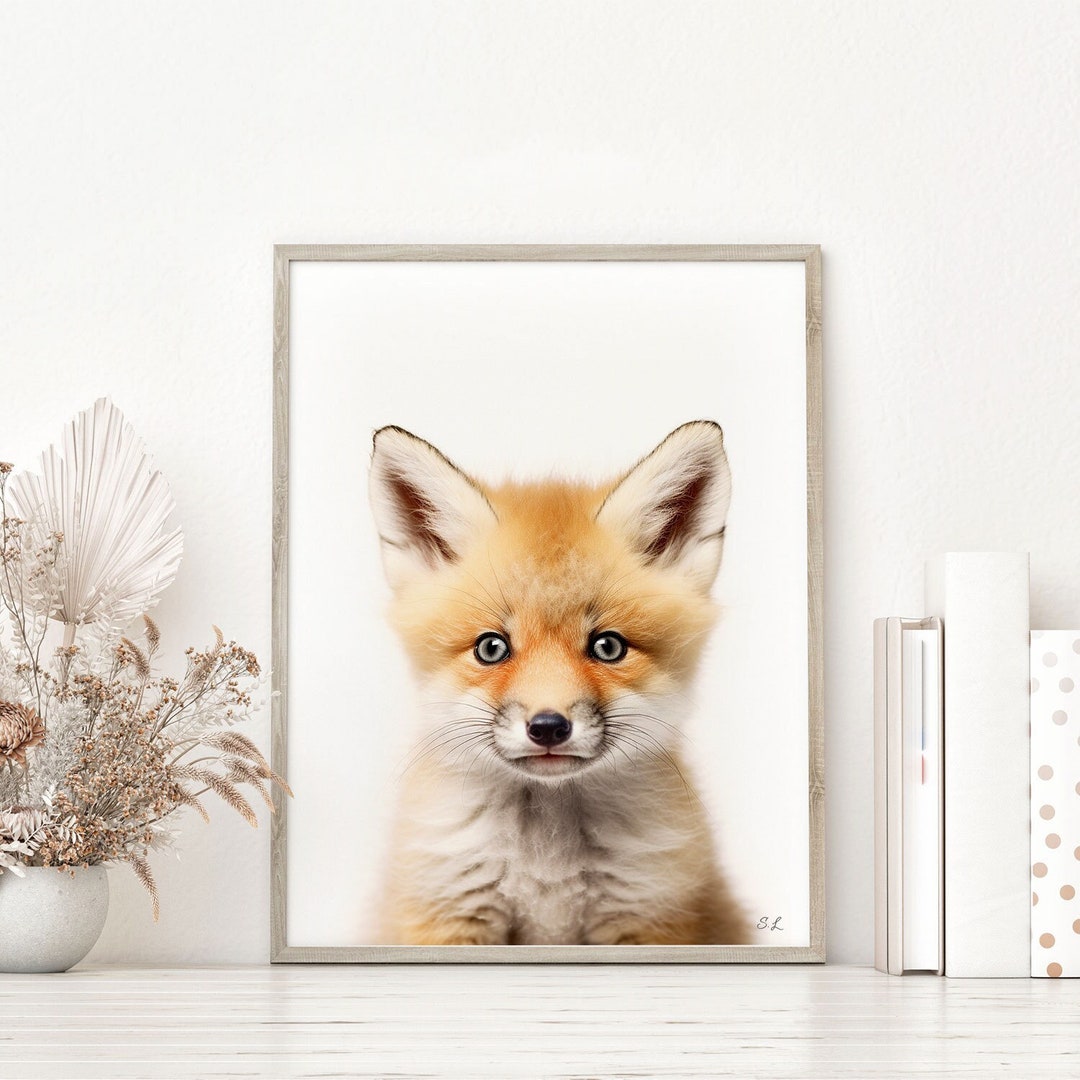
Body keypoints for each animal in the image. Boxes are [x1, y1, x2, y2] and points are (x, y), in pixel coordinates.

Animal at [368, 420, 748, 946]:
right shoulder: (447, 910)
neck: (547, 869)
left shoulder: (646, 916)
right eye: (491, 648)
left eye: (608, 647)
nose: (548, 727)